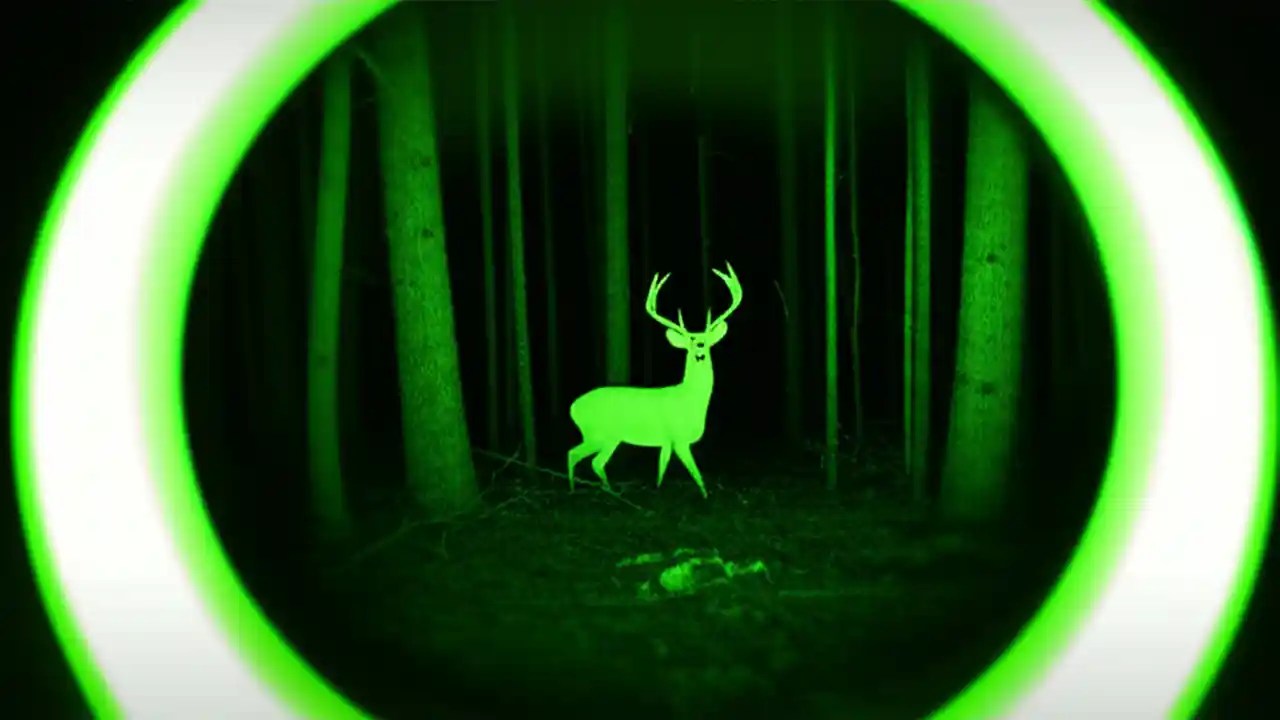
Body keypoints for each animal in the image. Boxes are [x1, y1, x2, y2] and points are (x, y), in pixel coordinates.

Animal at [567, 262, 743, 498]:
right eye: (691, 344)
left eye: (705, 343)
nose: (699, 352)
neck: (690, 400)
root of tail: (573, 408)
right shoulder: (679, 439)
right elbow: (696, 473)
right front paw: (706, 496)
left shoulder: (666, 441)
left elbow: (661, 469)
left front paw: (658, 489)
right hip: (601, 433)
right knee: (584, 457)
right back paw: (600, 491)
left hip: (600, 435)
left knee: (582, 456)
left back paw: (582, 489)